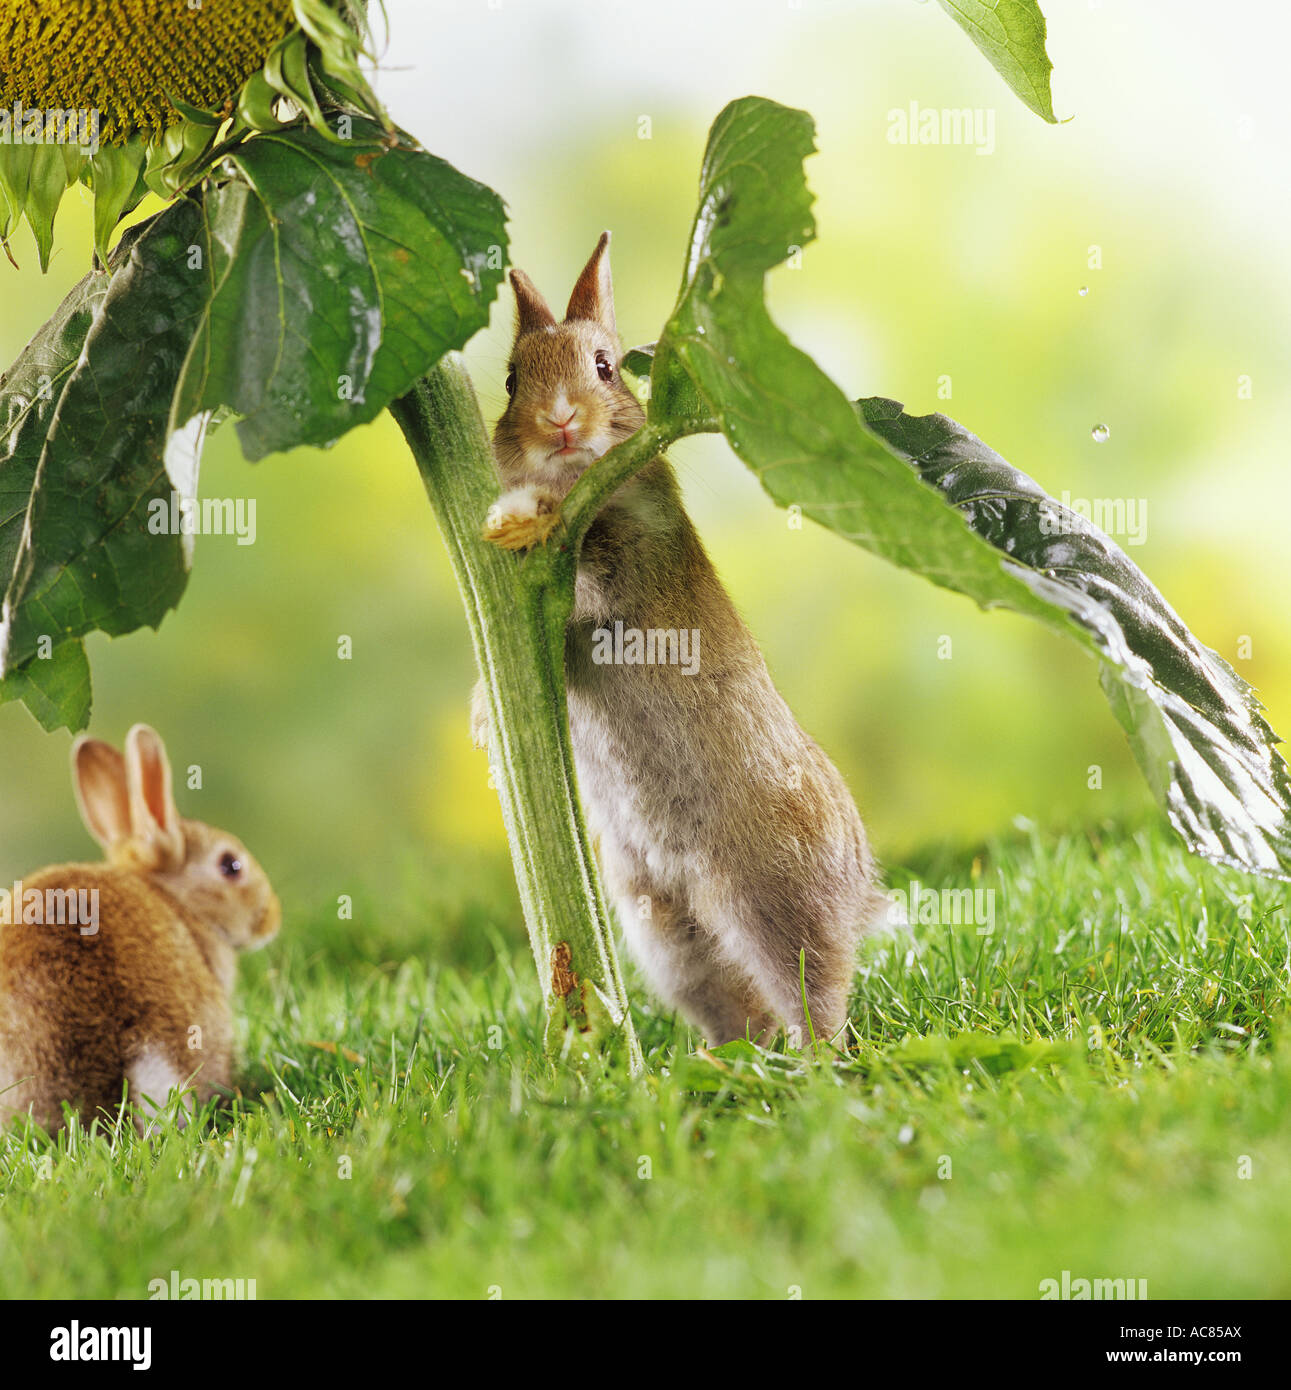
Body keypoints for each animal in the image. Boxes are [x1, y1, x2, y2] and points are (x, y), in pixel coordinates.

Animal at [476, 232, 888, 1046]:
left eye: (605, 365)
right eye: (510, 381)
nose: (559, 420)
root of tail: (862, 891)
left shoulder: (621, 560)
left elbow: (582, 572)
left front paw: (519, 522)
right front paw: (483, 716)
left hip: (771, 899)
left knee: (814, 991)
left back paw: (813, 1060)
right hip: (662, 931)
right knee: (732, 1000)